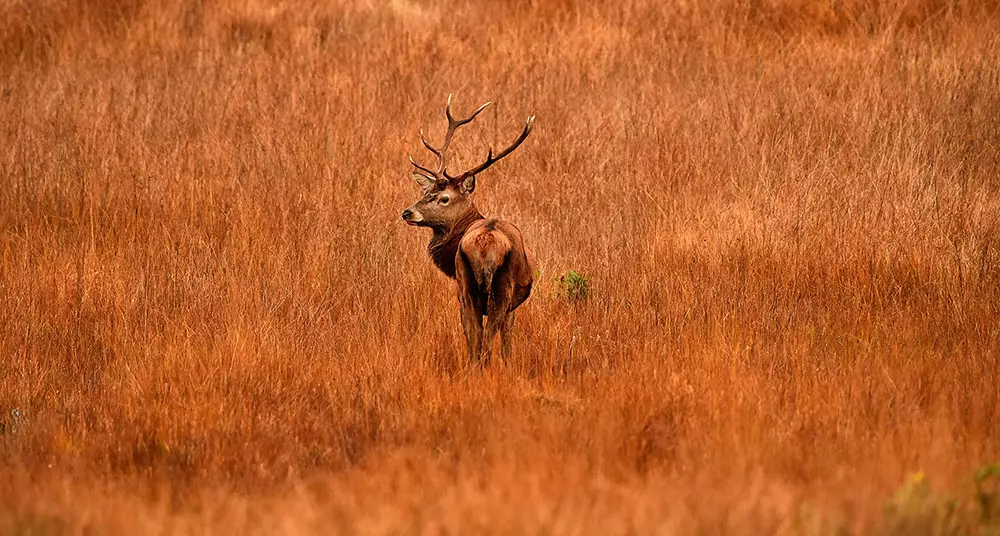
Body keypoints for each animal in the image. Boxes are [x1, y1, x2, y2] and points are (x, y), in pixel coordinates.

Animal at [400, 95, 536, 364]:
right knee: (484, 338)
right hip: (494, 290)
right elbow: (503, 342)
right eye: (425, 193)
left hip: (472, 287)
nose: (407, 212)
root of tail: (485, 245)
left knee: (478, 337)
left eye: (443, 198)